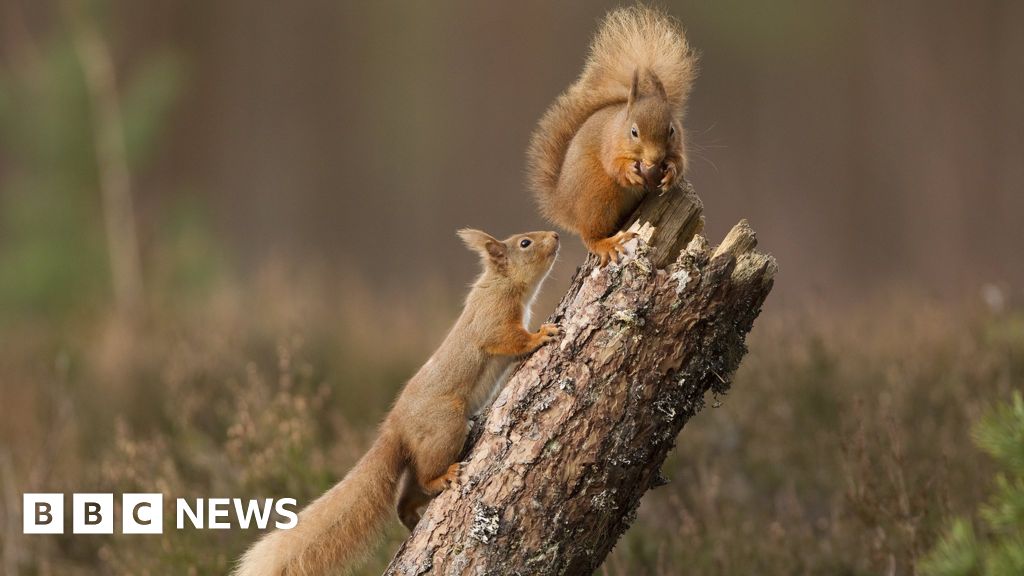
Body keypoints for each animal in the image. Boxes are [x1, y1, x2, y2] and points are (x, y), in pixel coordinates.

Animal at [233, 228, 561, 576]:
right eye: (525, 243)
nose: (555, 235)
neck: (502, 284)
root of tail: (396, 427)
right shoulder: (492, 321)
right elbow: (511, 340)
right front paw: (541, 336)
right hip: (446, 427)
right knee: (425, 477)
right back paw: (442, 478)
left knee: (406, 497)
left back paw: (413, 516)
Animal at [526, 6, 697, 266]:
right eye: (634, 132)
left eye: (671, 130)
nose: (655, 159)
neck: (620, 125)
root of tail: (565, 205)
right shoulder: (610, 145)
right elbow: (614, 165)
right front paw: (630, 172)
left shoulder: (678, 146)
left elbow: (680, 161)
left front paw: (670, 173)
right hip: (599, 195)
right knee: (590, 236)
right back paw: (606, 243)